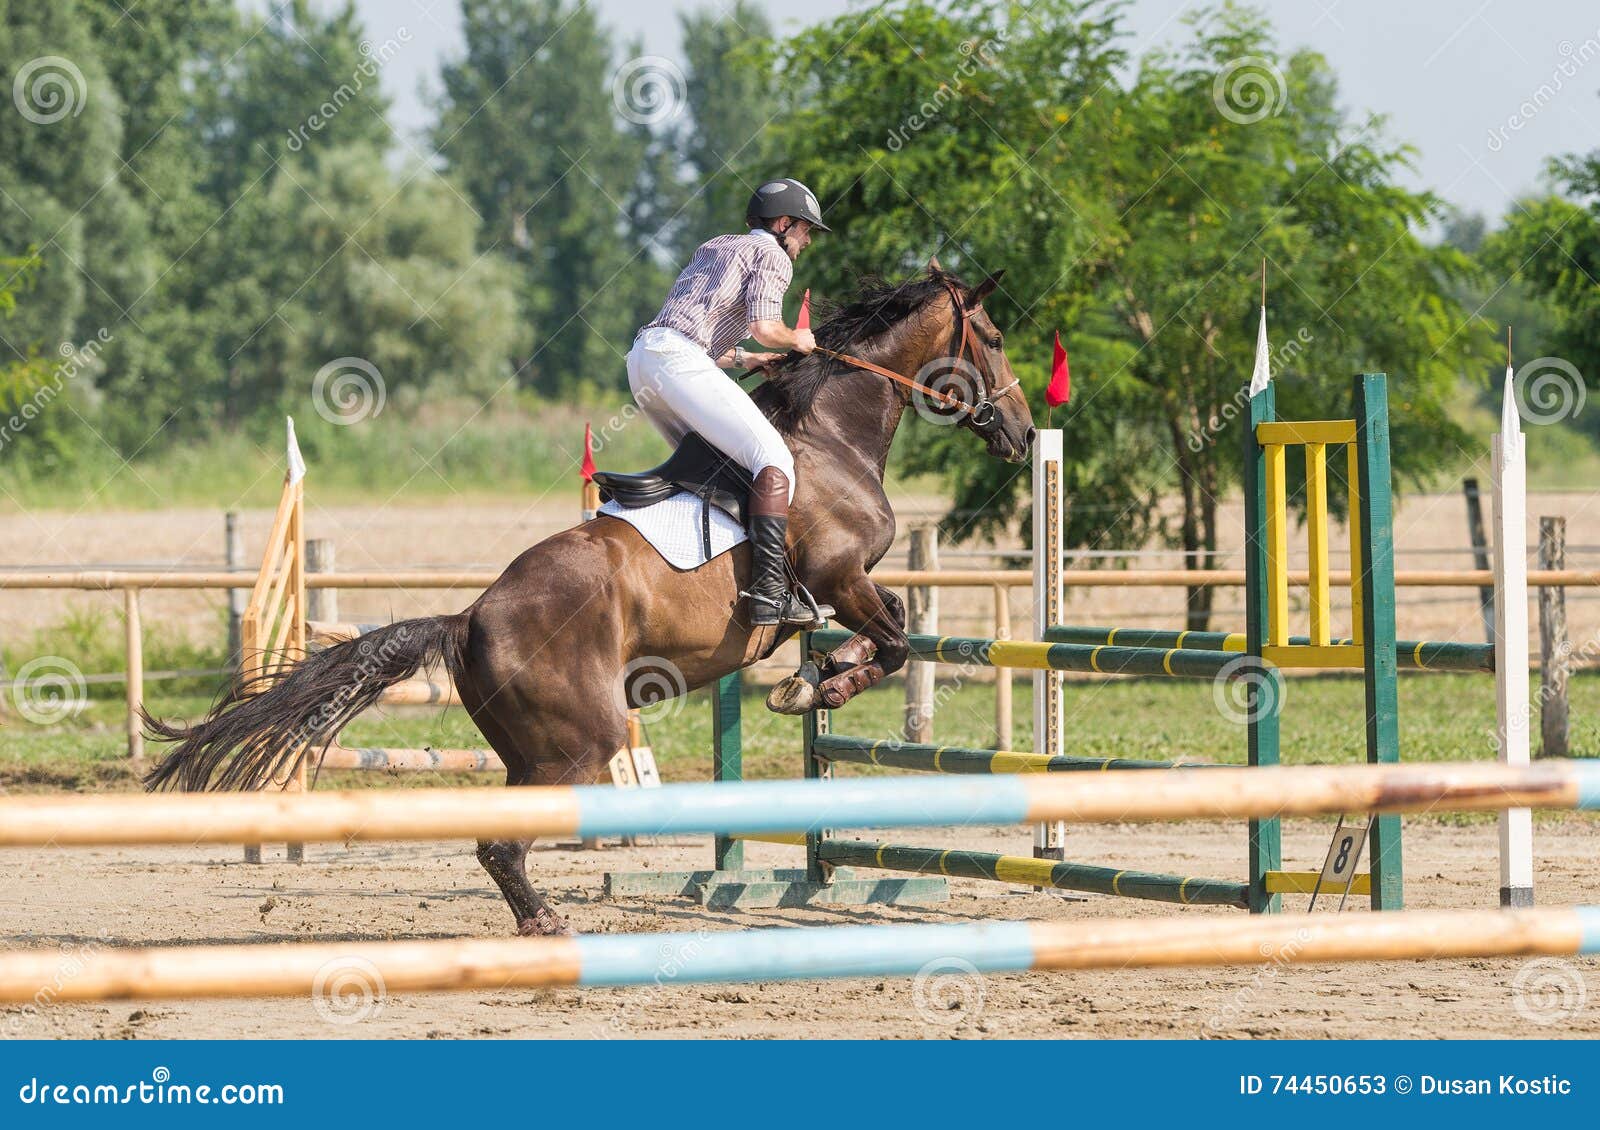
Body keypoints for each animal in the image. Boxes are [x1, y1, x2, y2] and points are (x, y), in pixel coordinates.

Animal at [144, 266, 1036, 936]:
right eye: (992, 338)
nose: (1026, 435)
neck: (830, 435)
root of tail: (470, 617)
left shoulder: (851, 584)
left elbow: (893, 626)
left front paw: (815, 677)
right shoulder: (840, 575)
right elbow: (893, 641)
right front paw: (819, 686)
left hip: (529, 750)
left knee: (501, 838)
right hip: (579, 740)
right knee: (501, 845)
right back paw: (545, 923)